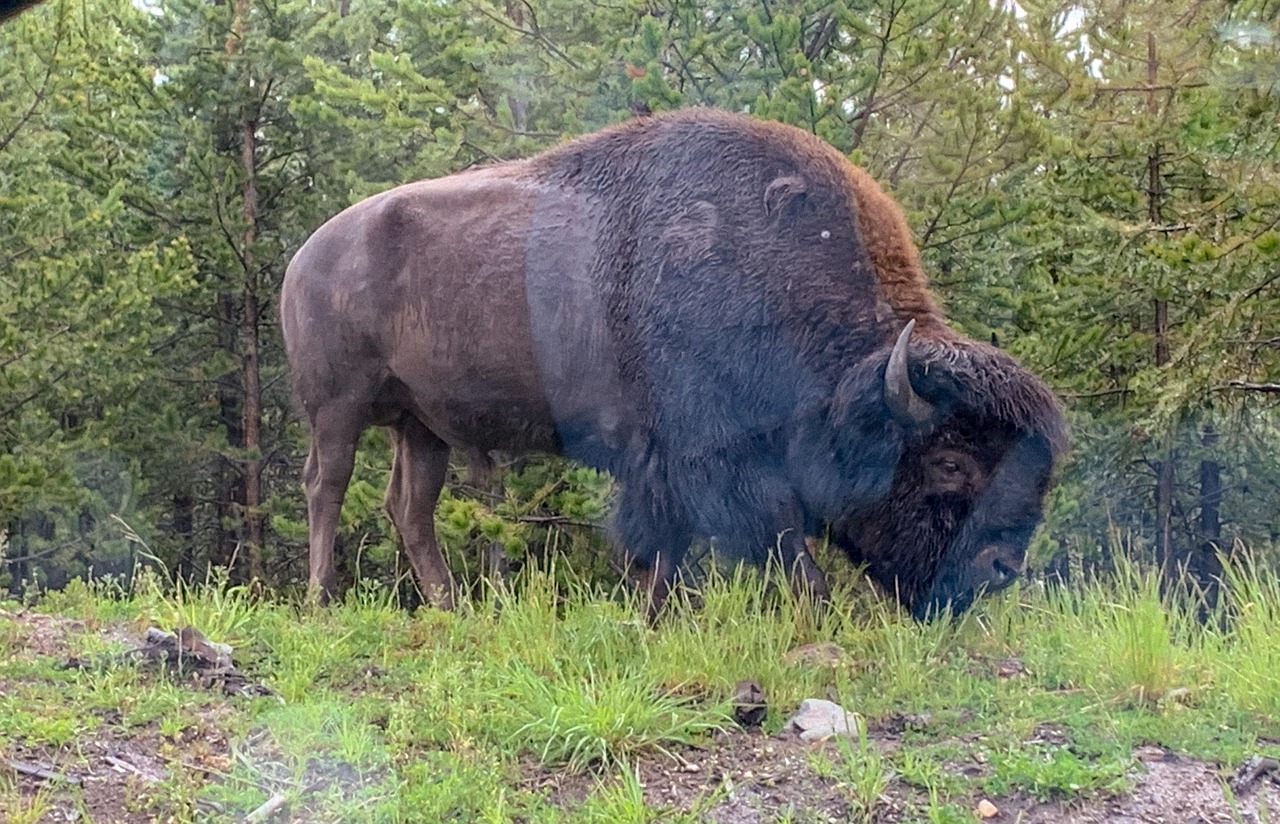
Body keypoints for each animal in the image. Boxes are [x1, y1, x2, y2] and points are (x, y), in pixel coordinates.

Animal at [281, 108, 1066, 619]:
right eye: (949, 463)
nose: (999, 571)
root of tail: (308, 252)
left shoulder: (666, 465)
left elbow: (668, 548)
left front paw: (656, 615)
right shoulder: (712, 455)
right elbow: (777, 540)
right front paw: (814, 617)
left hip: (422, 425)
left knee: (409, 509)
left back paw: (453, 610)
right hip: (337, 407)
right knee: (326, 485)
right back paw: (322, 601)